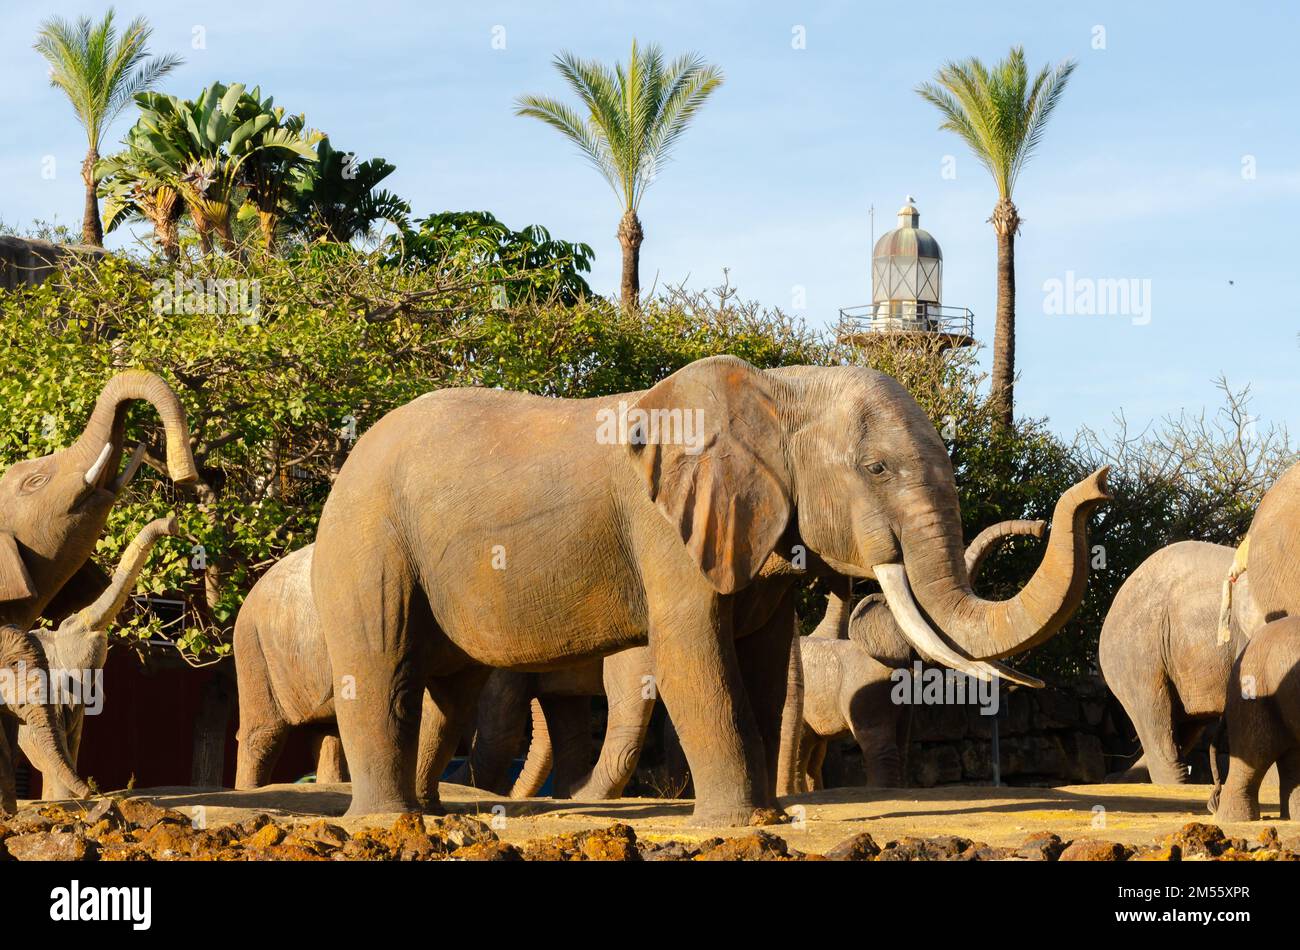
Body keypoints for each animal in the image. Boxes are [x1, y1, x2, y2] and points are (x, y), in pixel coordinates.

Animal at [310, 355, 1109, 823]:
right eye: (877, 470)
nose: (1096, 486)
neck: (779, 387)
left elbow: (761, 662)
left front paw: (766, 819)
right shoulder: (663, 530)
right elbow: (695, 653)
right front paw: (740, 826)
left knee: (449, 686)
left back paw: (437, 815)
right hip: (366, 540)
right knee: (383, 664)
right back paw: (390, 824)